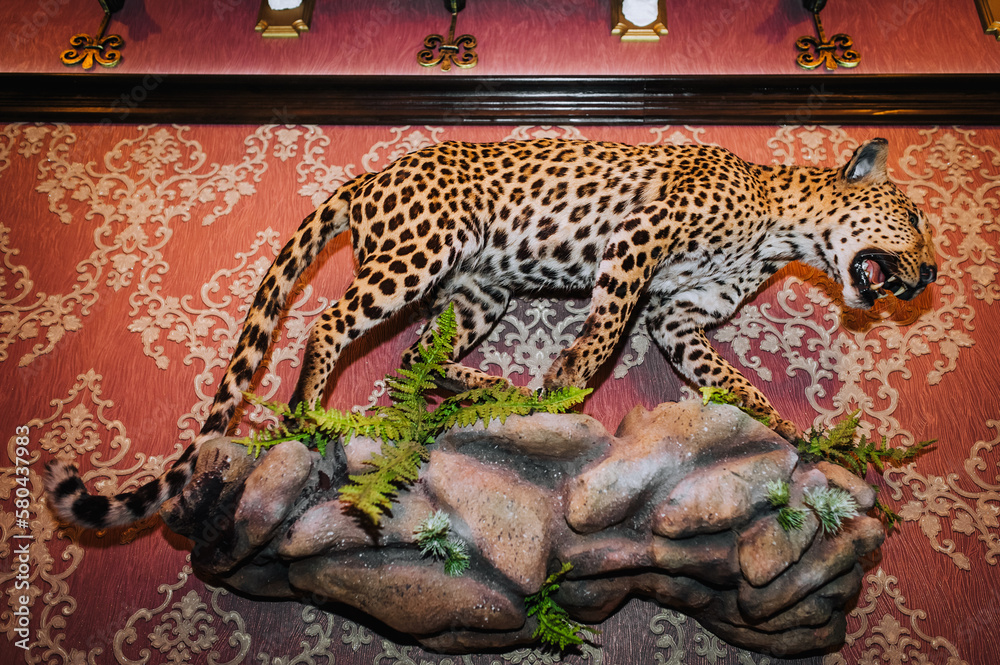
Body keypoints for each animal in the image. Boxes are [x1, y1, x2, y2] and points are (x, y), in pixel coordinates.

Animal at [45, 137, 937, 530]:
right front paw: (573, 385)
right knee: (332, 323)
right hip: (419, 254)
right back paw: (310, 414)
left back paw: (495, 393)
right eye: (917, 217)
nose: (928, 274)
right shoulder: (639, 242)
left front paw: (797, 433)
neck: (783, 235)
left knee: (416, 359)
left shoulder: (678, 317)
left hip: (482, 292)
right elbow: (604, 329)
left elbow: (735, 384)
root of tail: (368, 177)